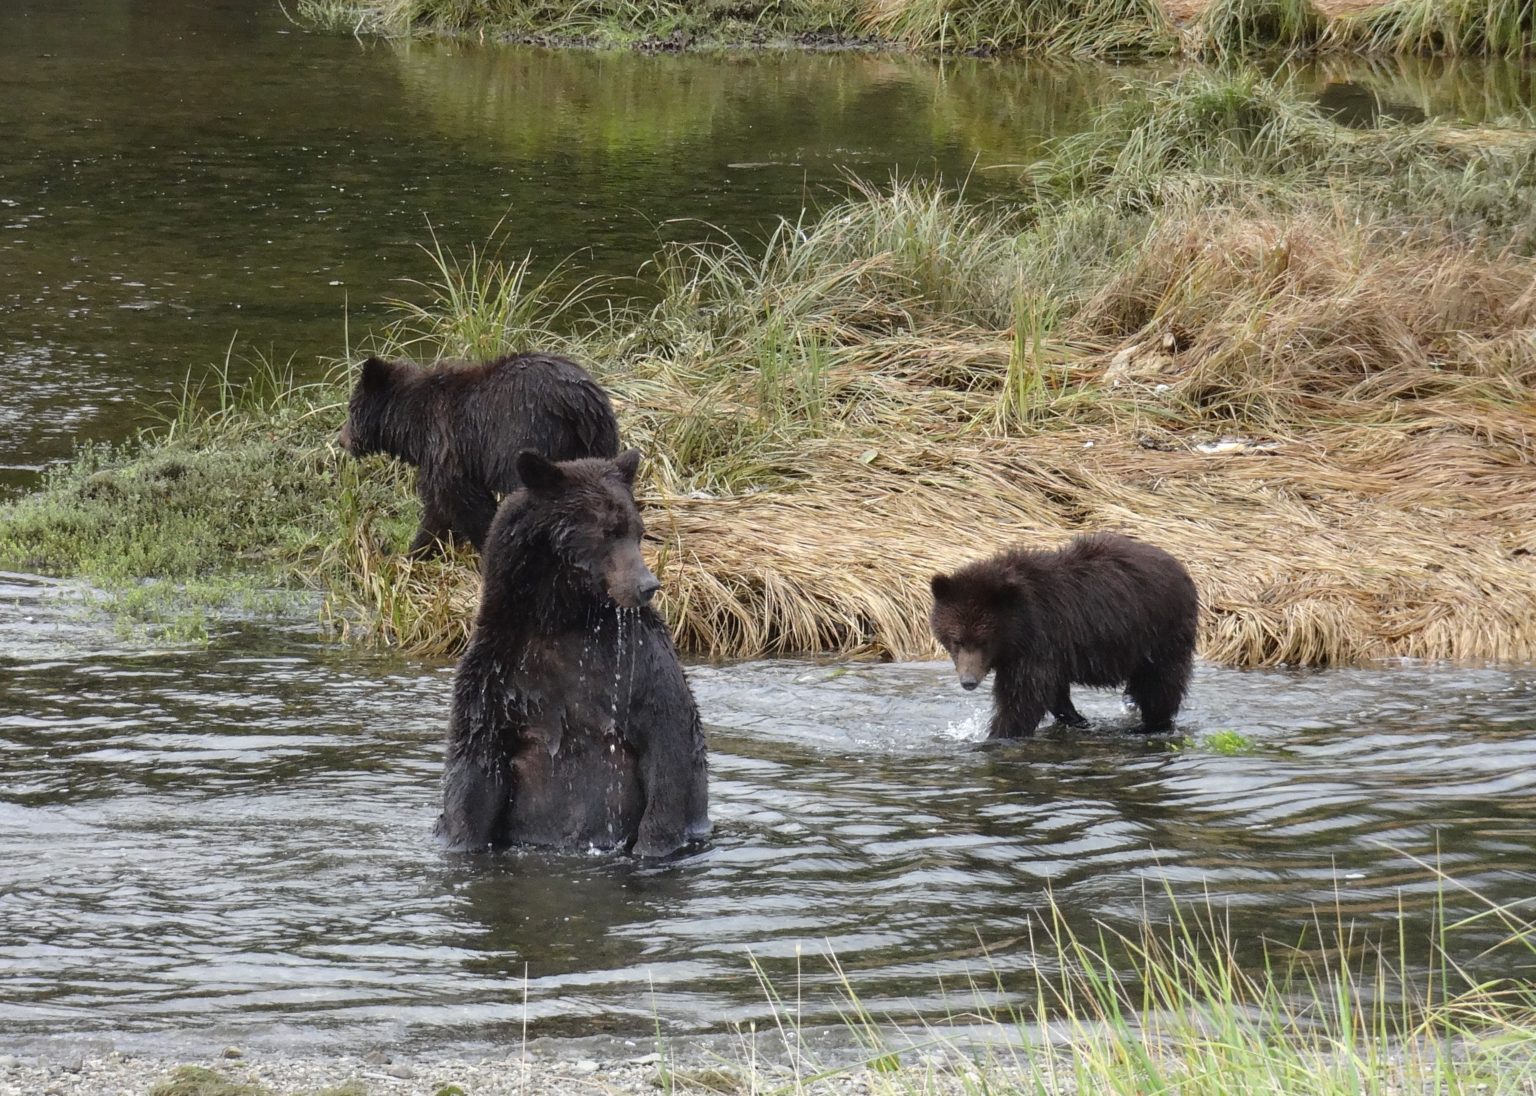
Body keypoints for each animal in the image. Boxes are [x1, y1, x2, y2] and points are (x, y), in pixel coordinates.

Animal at [338, 352, 621, 556]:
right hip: (599, 440)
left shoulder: (446, 446)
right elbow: (439, 510)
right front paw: (416, 550)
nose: (341, 440)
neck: (412, 425)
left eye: (351, 409)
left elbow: (461, 501)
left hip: (532, 434)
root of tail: (578, 403)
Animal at [436, 448, 710, 858]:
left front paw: (652, 845)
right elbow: (475, 766)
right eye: (607, 531)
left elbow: (668, 742)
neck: (562, 618)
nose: (647, 585)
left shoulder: (638, 659)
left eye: (638, 530)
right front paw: (461, 841)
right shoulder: (497, 671)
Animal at [929, 532, 1198, 738]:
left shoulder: (1040, 640)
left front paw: (998, 734)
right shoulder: (1045, 651)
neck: (1018, 630)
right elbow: (1054, 692)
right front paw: (1076, 719)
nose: (968, 681)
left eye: (984, 641)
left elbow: (1023, 697)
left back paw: (1151, 725)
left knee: (1161, 684)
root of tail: (1178, 566)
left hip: (1160, 634)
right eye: (956, 639)